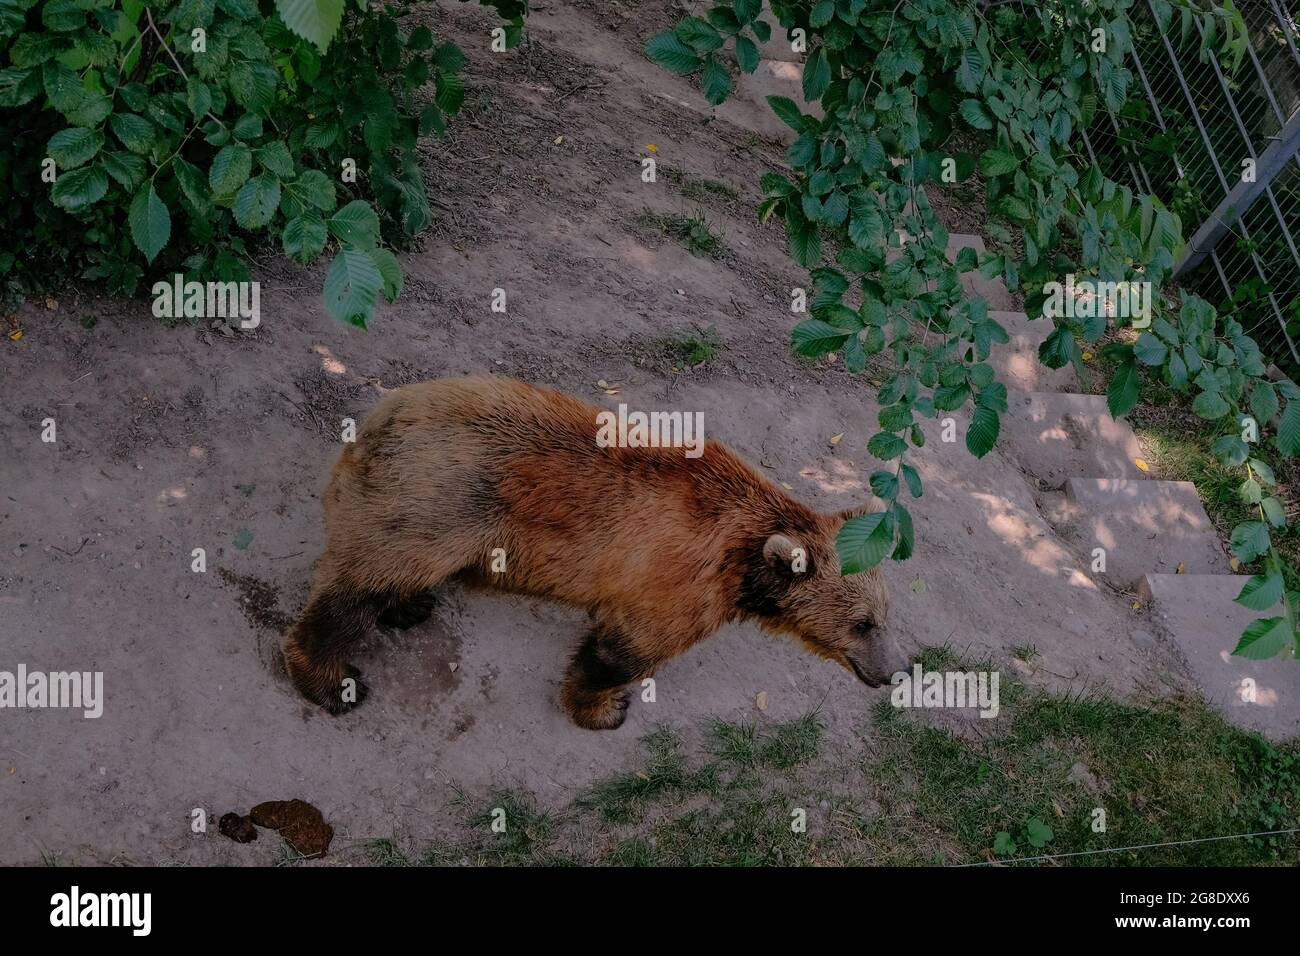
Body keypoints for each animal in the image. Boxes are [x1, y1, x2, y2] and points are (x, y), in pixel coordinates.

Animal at [281, 375, 905, 729]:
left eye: (886, 616)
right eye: (863, 623)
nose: (896, 672)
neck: (745, 566)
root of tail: (379, 418)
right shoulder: (678, 579)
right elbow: (622, 651)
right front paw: (606, 707)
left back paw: (408, 606)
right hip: (435, 504)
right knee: (357, 587)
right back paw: (333, 681)